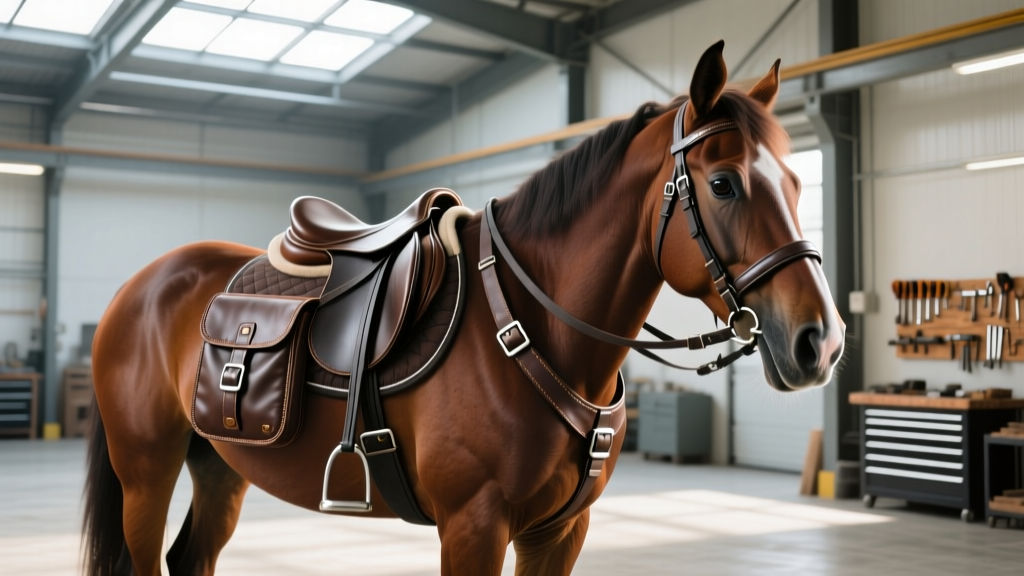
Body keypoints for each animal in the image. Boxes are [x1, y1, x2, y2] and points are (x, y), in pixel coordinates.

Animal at [82, 41, 845, 576]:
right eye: (723, 183)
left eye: (798, 179)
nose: (822, 342)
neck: (528, 326)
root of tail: (141, 285)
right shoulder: (473, 526)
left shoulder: (559, 532)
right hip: (145, 468)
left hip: (218, 466)